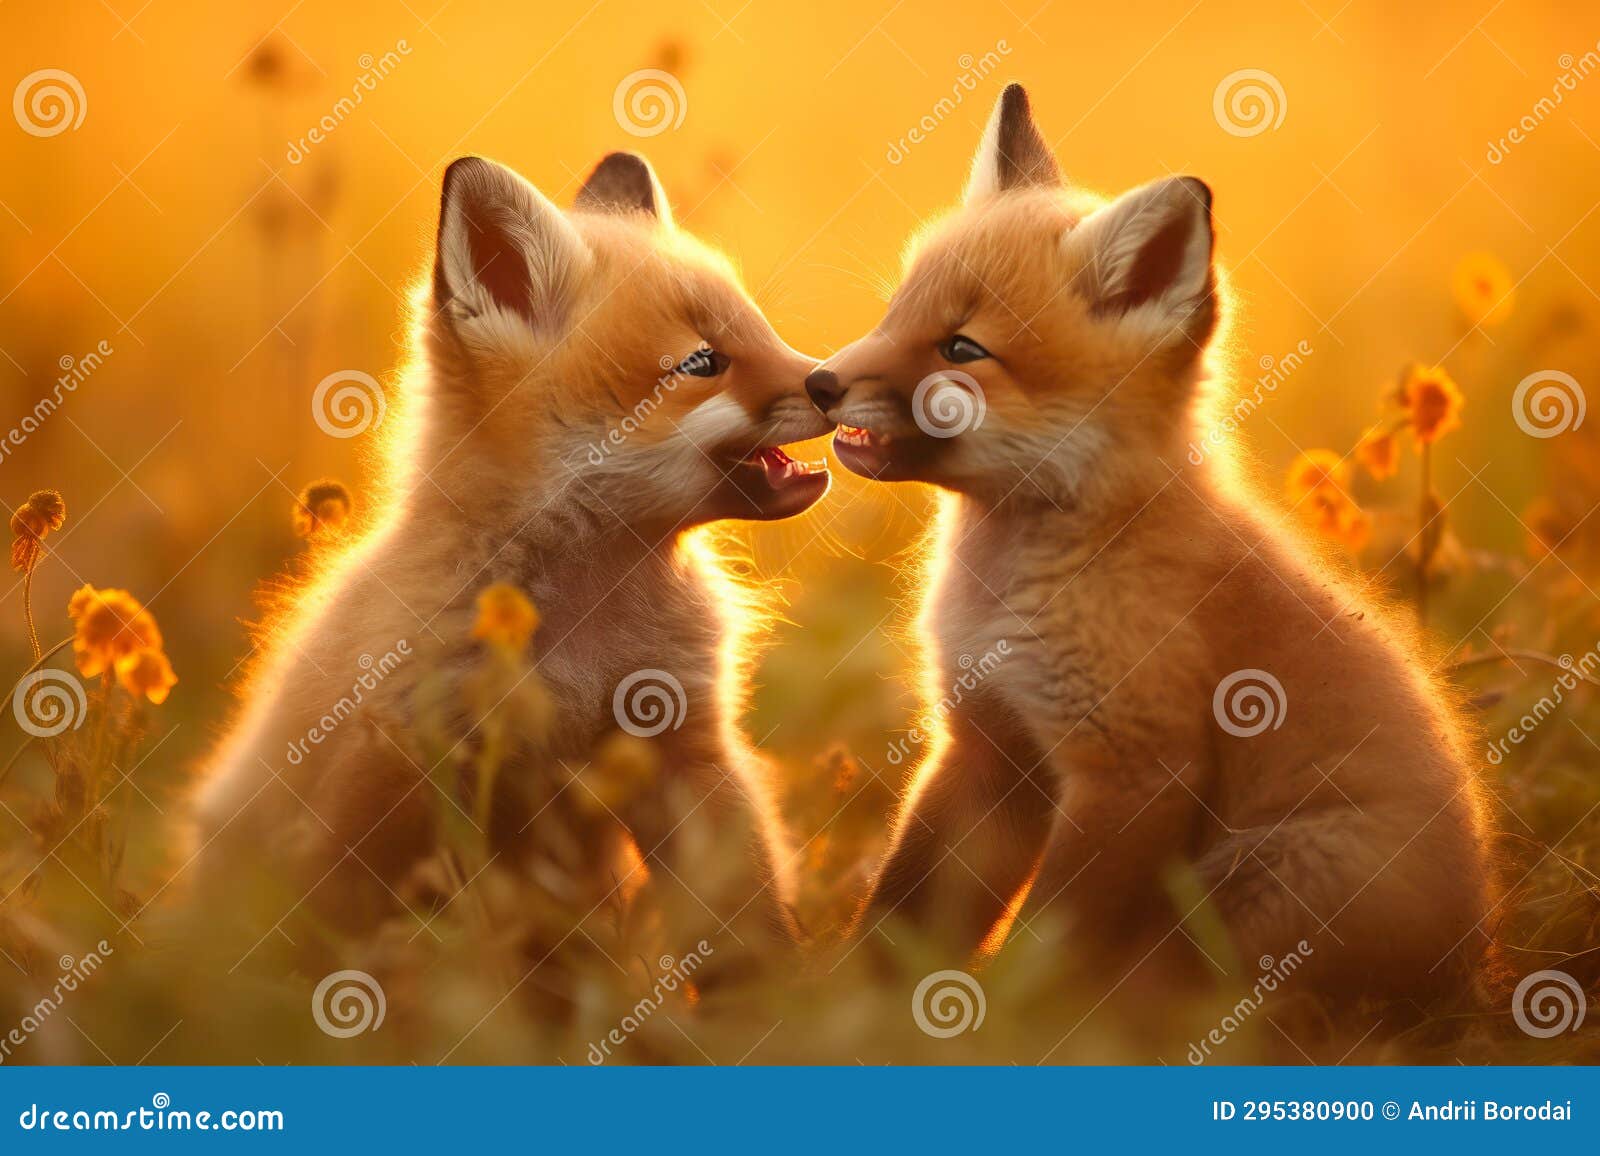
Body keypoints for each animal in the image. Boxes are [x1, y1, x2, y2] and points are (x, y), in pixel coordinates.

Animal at [191, 152, 830, 951]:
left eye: (763, 330)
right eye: (703, 362)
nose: (831, 379)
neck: (587, 633)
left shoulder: (685, 742)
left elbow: (749, 919)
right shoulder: (392, 770)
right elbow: (353, 925)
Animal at [807, 84, 1493, 998]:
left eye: (962, 348)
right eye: (894, 314)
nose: (817, 383)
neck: (1016, 580)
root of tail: (1482, 963)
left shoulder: (1134, 769)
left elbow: (1051, 943)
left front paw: (1010, 1019)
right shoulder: (989, 747)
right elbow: (899, 905)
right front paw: (844, 1004)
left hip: (1249, 893)